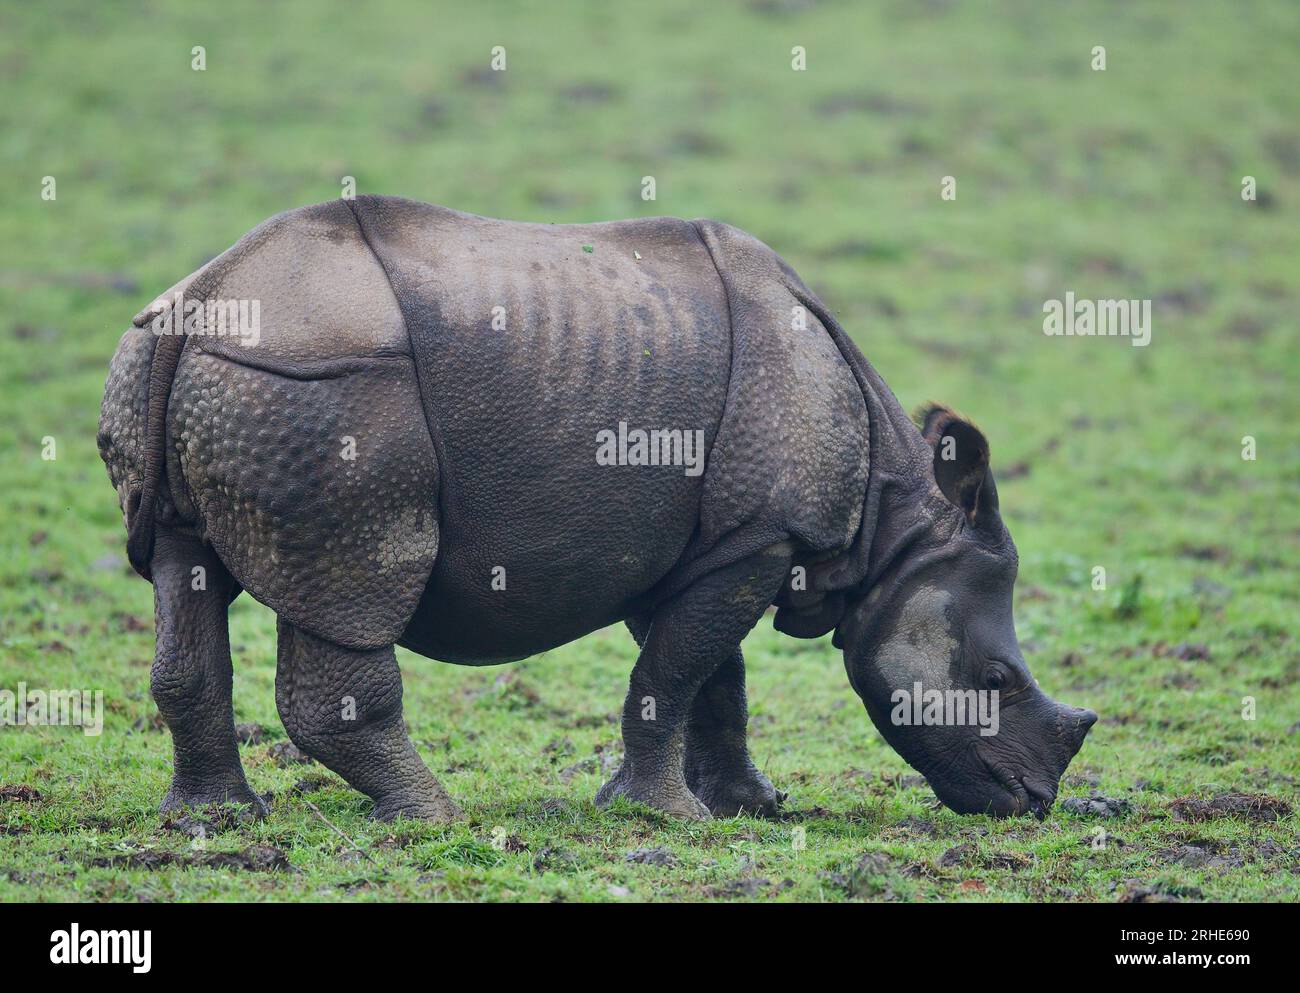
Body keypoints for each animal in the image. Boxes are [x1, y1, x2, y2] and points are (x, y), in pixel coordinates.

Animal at [98, 195, 1096, 822]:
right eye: (996, 681)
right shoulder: (758, 536)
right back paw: (432, 817)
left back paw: (215, 820)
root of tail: (205, 299)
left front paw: (747, 808)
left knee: (183, 571)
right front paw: (669, 817)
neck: (892, 532)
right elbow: (679, 673)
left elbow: (707, 678)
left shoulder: (714, 542)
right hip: (324, 387)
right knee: (353, 592)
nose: (1034, 802)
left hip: (213, 376)